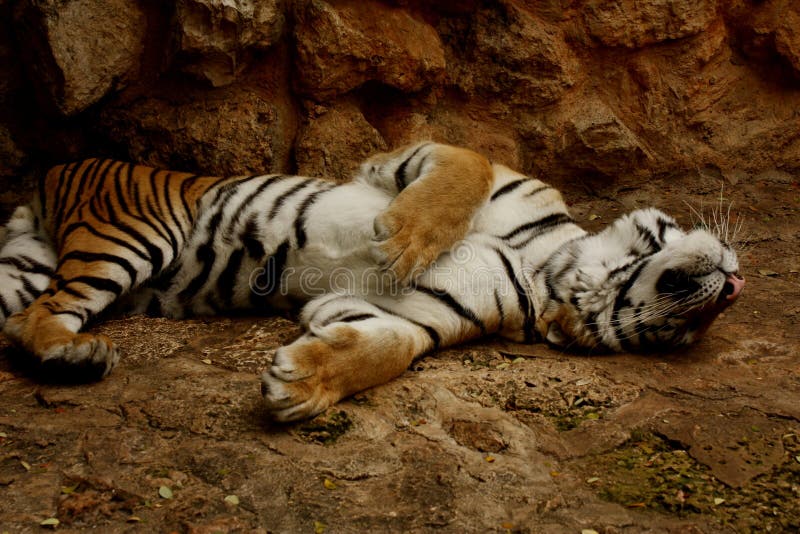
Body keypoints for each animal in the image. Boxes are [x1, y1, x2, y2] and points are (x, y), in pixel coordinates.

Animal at [0, 142, 744, 421]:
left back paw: (73, 357)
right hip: (129, 235)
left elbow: (389, 347)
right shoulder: (427, 156)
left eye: (676, 341)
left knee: (21, 315)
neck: (549, 266)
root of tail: (45, 176)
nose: (735, 286)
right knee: (43, 311)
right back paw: (74, 352)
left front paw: (299, 383)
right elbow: (466, 171)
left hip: (31, 265)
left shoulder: (411, 315)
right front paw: (405, 237)